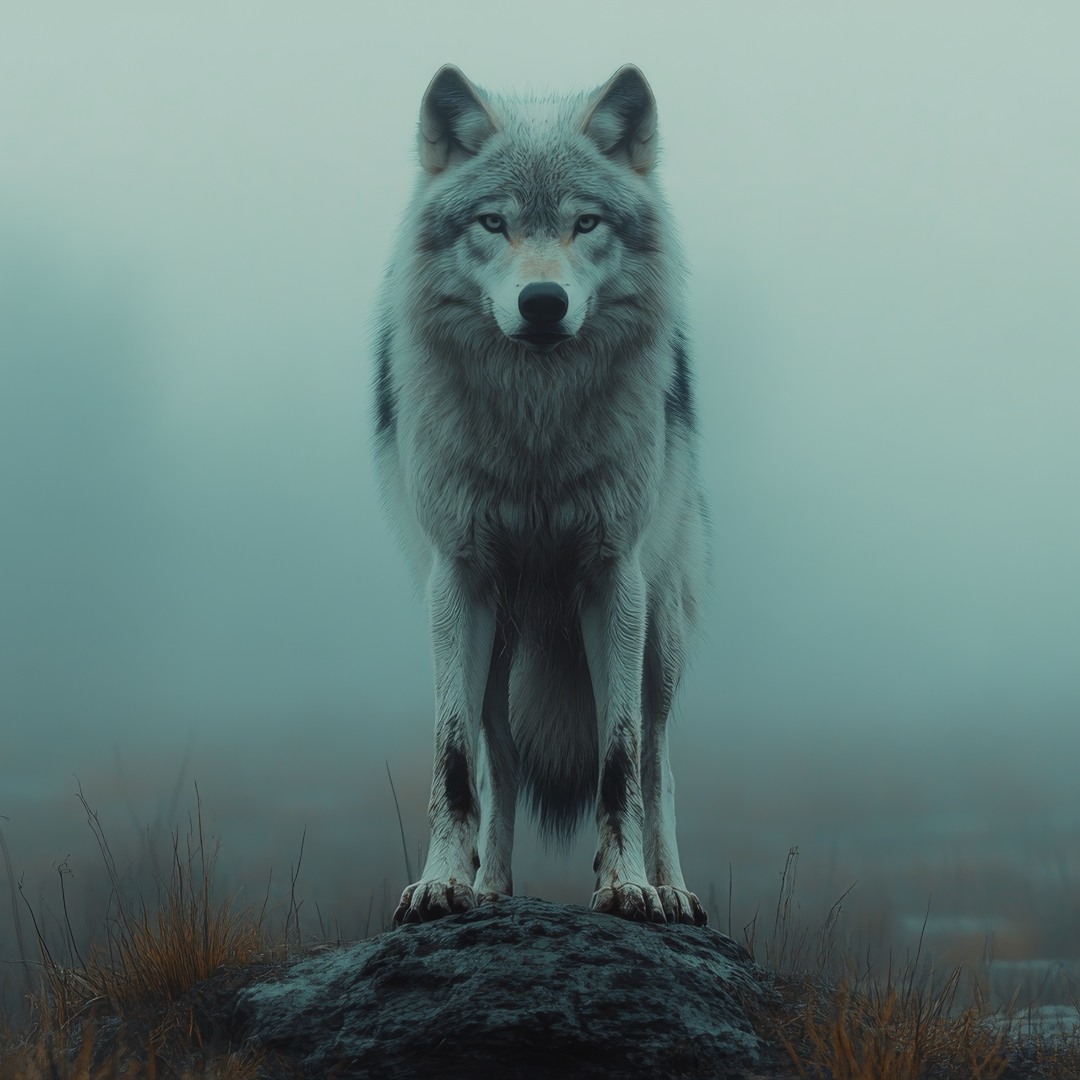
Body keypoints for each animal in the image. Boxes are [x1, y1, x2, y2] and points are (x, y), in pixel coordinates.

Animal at [373, 64, 708, 926]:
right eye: (493, 222)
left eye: (585, 222)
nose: (544, 303)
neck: (536, 432)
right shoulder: (457, 582)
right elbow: (454, 763)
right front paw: (442, 883)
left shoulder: (613, 580)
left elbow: (619, 765)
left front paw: (627, 887)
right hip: (497, 648)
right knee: (503, 759)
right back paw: (490, 887)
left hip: (662, 642)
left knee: (659, 763)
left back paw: (674, 888)